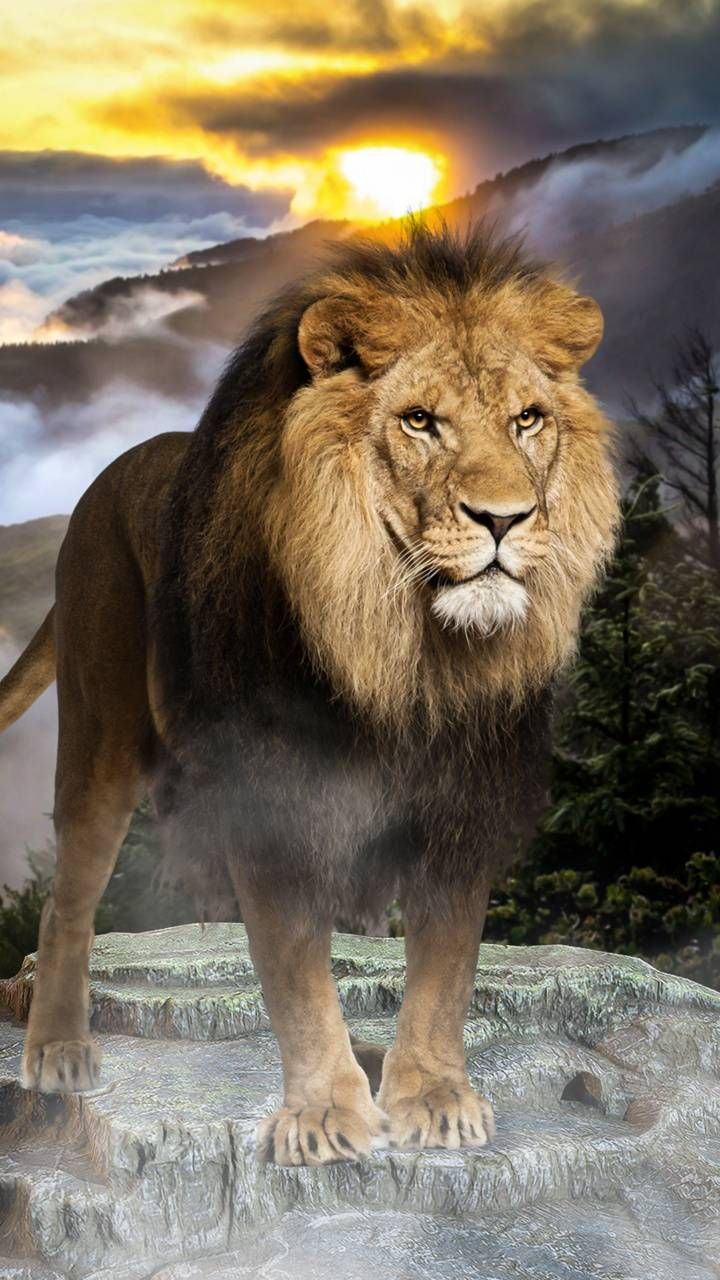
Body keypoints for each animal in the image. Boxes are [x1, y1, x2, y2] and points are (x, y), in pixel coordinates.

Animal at [0, 221, 618, 1165]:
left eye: (527, 419)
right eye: (419, 421)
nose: (504, 520)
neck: (407, 656)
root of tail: (104, 478)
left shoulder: (459, 802)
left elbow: (444, 964)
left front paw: (432, 1097)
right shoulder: (276, 795)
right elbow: (294, 963)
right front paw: (327, 1114)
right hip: (101, 734)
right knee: (69, 899)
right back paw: (60, 1051)